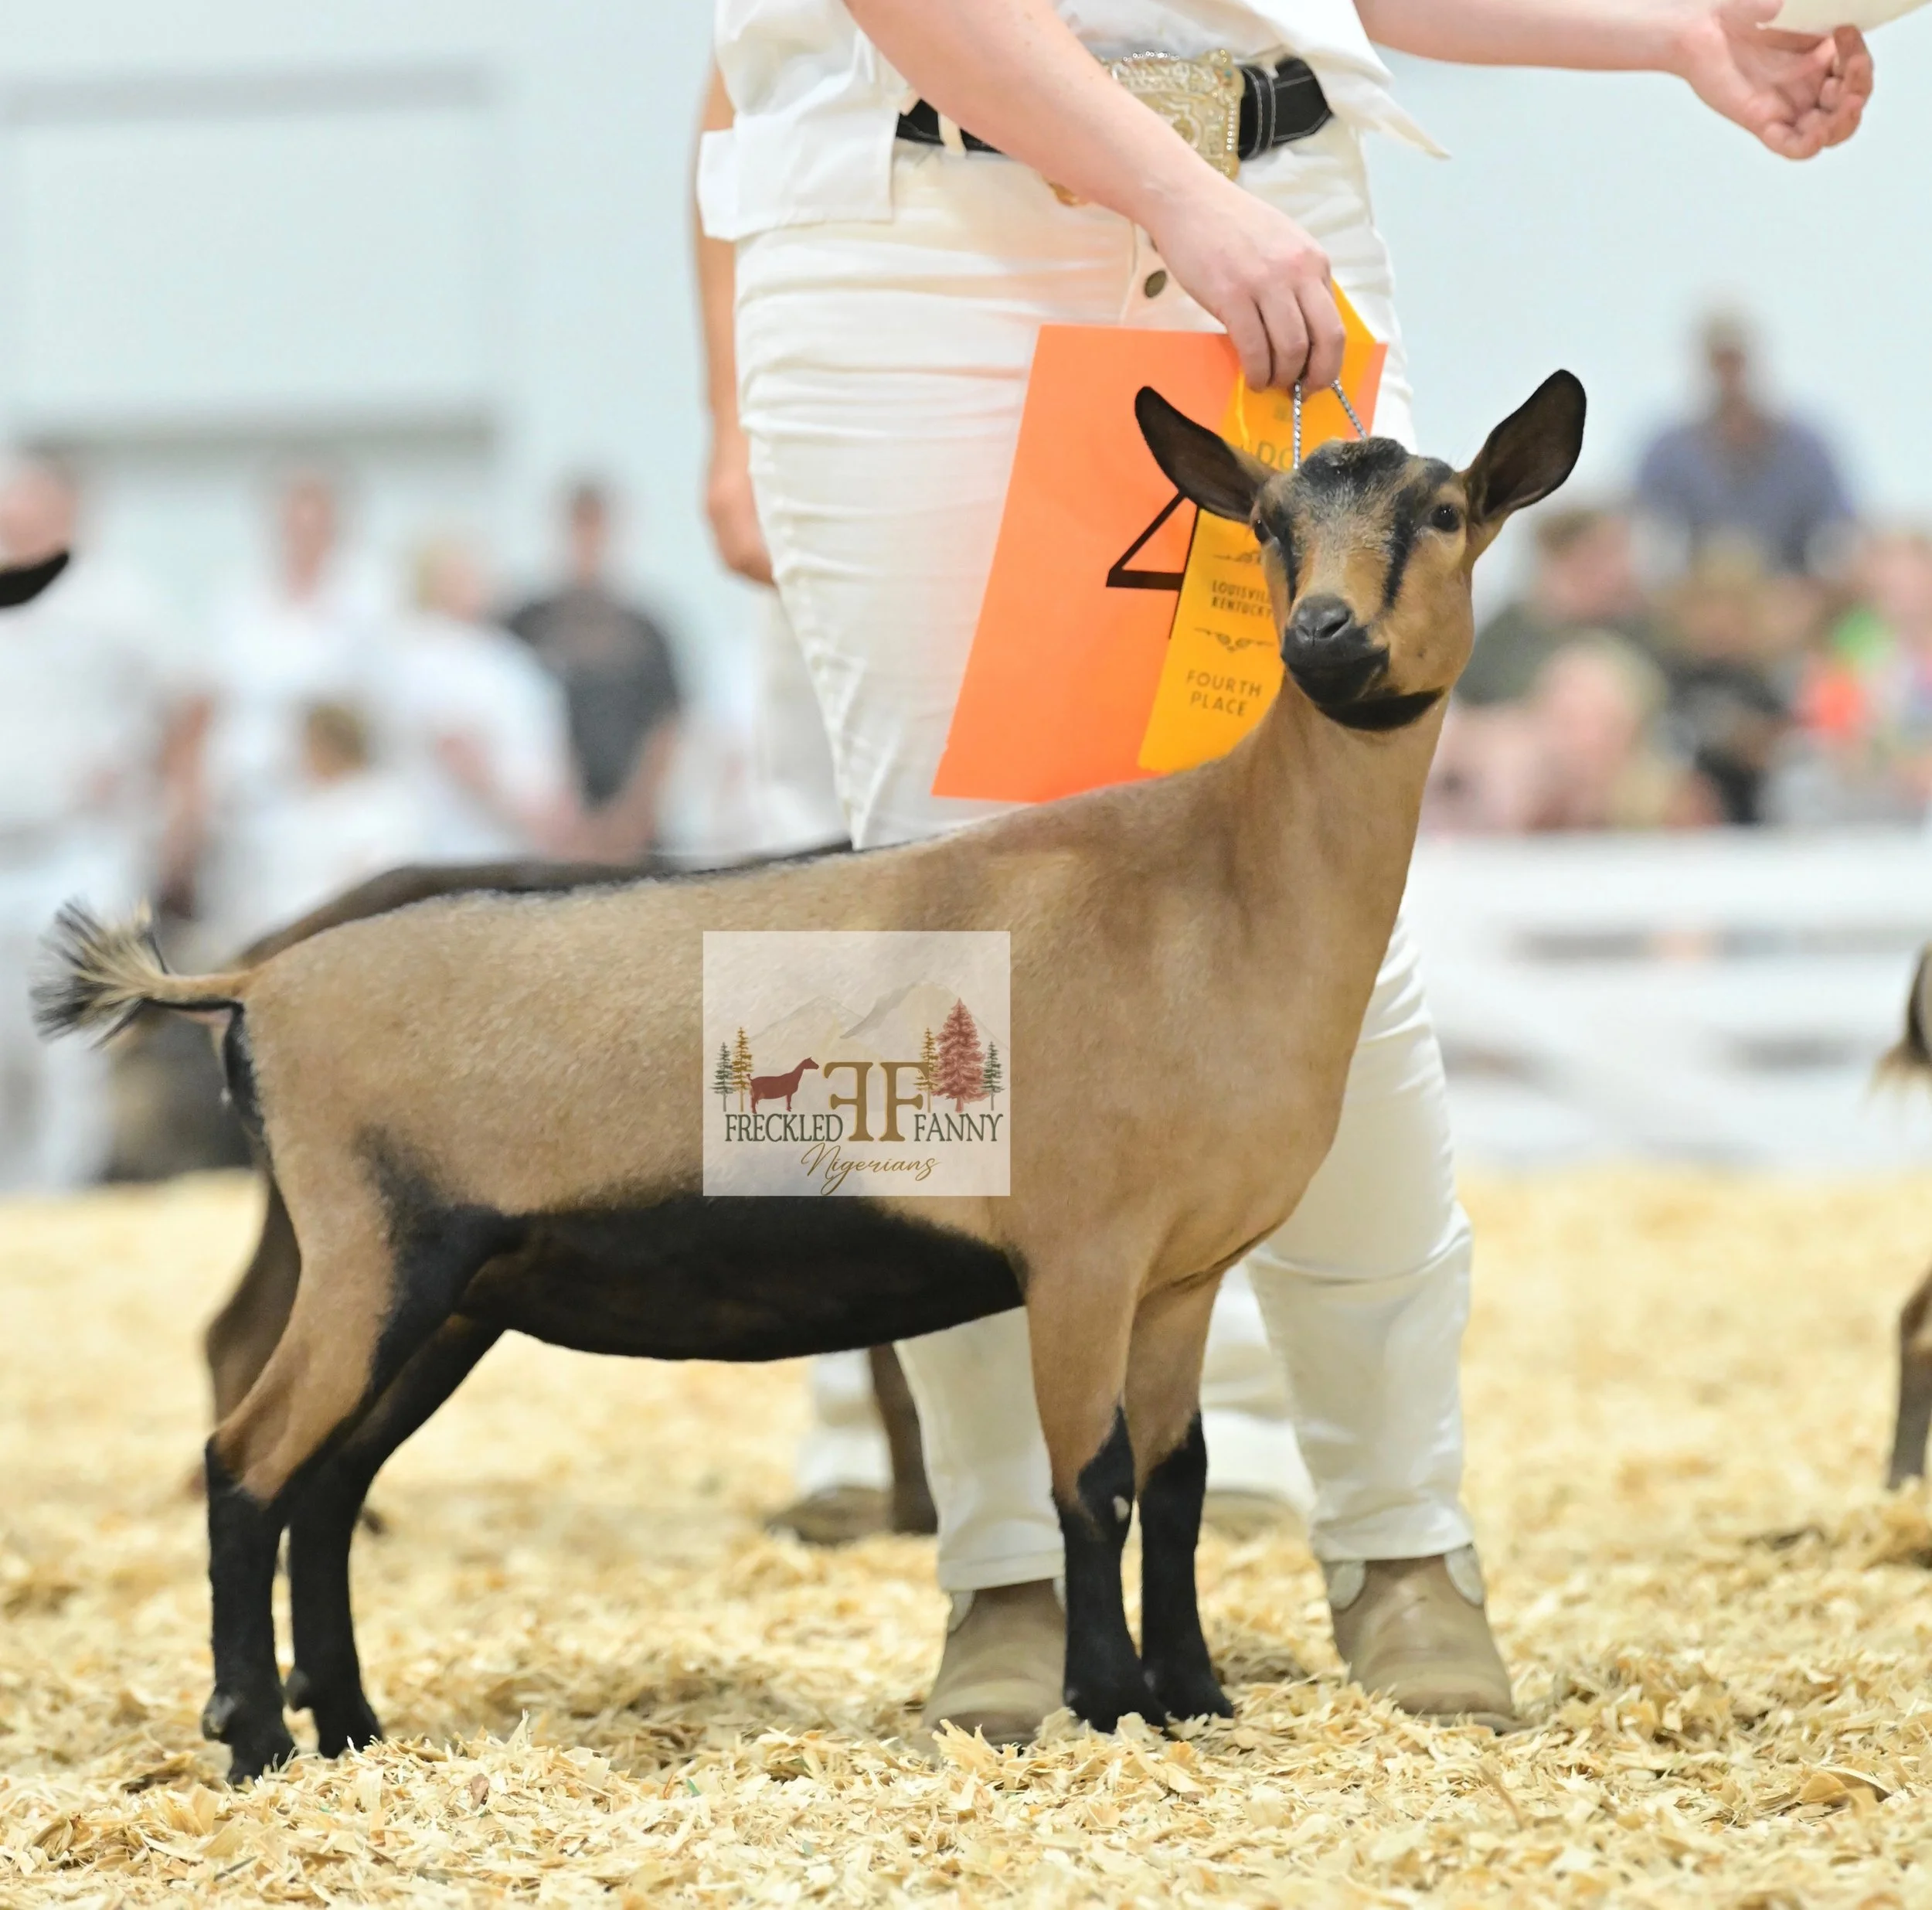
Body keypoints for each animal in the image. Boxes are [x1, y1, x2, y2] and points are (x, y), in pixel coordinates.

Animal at [39, 371, 1584, 1781]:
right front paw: (1108, 1703)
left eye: (1444, 513)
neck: (1222, 880)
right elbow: (1089, 1481)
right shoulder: (1081, 1249)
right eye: (1267, 525)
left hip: (450, 1288)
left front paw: (1195, 1694)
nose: (1327, 636)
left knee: (327, 1484)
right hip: (369, 1252)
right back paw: (252, 1736)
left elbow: (1181, 1478)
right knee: (247, 1461)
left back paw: (352, 1726)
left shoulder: (1182, 1272)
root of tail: (252, 985)